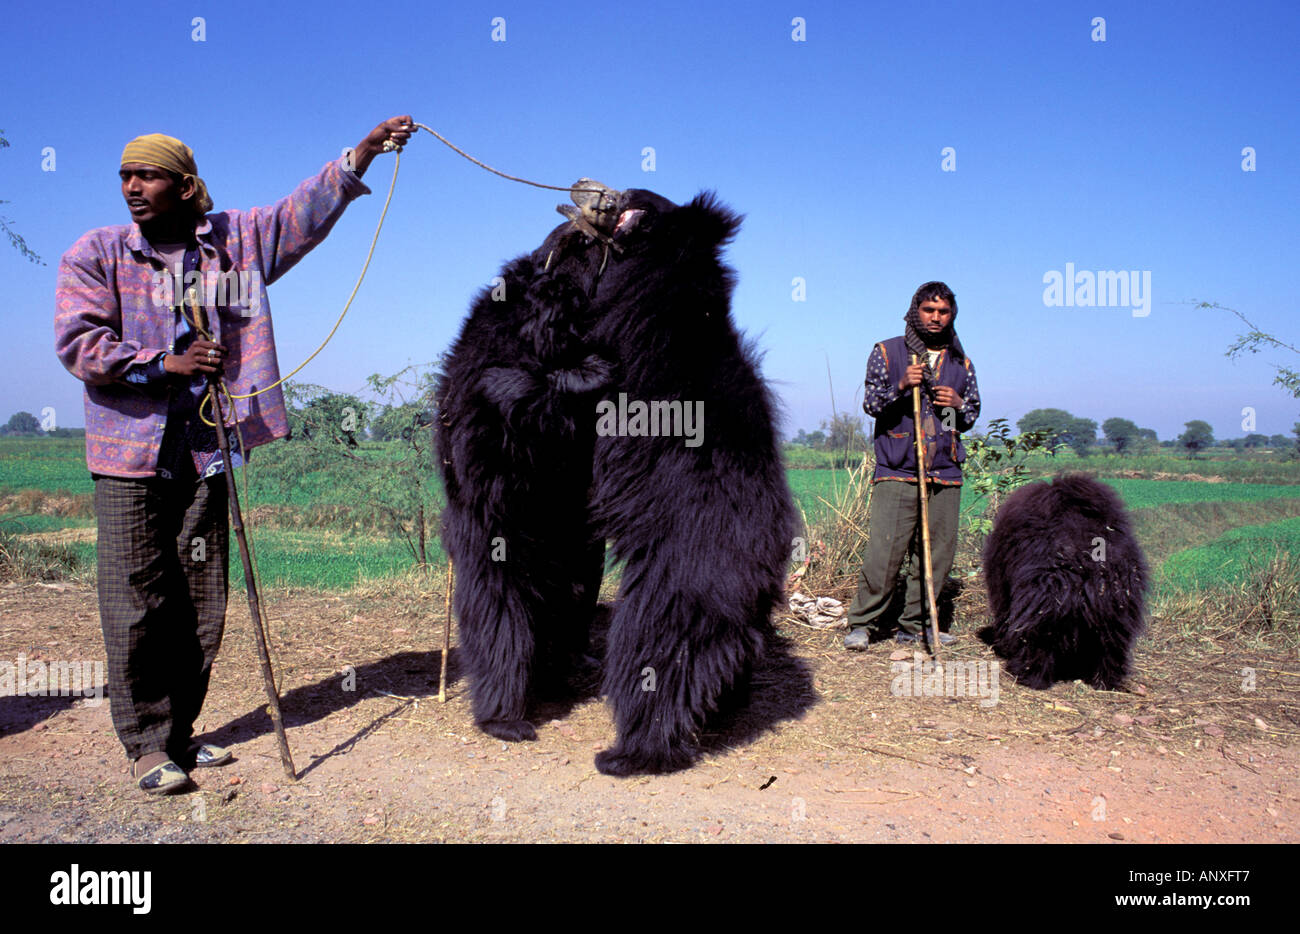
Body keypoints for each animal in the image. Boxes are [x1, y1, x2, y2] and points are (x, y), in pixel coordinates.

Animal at [435, 180, 797, 776]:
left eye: (639, 202)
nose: (605, 191)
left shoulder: (632, 317)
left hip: (675, 583)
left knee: (655, 656)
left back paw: (627, 752)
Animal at [979, 473, 1149, 690]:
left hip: (1044, 607)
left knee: (1037, 644)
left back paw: (1030, 677)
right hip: (1116, 611)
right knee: (1111, 648)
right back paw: (1105, 682)